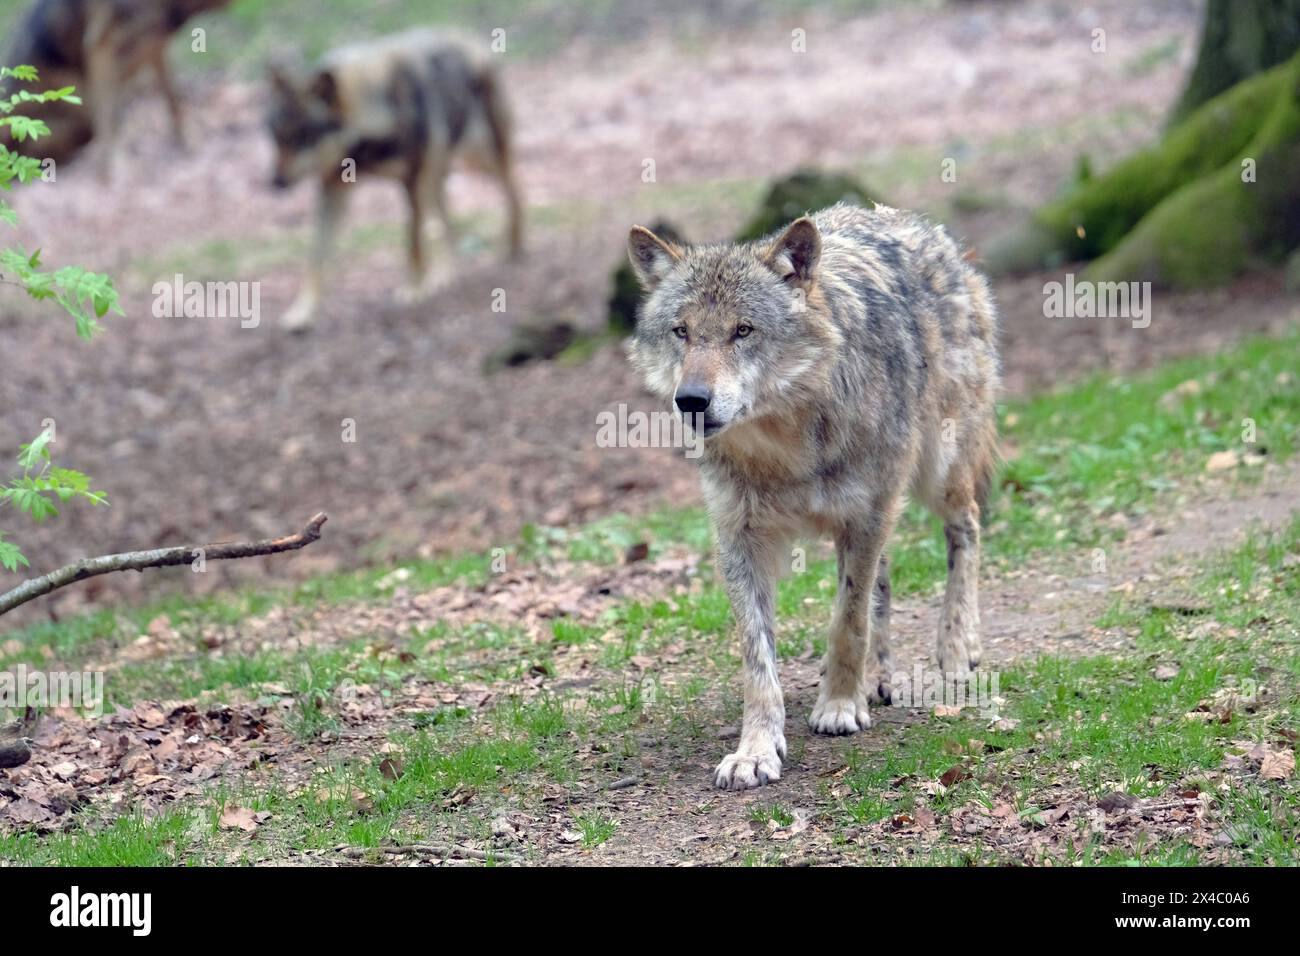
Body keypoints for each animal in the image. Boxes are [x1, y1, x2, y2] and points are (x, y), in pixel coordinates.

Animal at [3, 0, 232, 171]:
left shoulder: (155, 43)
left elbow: (174, 100)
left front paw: (187, 143)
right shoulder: (101, 45)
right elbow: (112, 120)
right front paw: (113, 171)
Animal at [267, 30, 524, 330]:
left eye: (303, 137)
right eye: (276, 136)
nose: (275, 182)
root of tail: (470, 38)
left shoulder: (410, 183)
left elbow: (412, 242)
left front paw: (413, 291)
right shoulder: (331, 190)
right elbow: (315, 257)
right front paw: (301, 312)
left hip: (479, 162)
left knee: (516, 190)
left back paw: (515, 247)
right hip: (436, 176)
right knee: (445, 222)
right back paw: (444, 275)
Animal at [627, 202, 1000, 790]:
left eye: (743, 330)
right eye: (681, 331)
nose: (690, 400)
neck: (785, 448)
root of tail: (926, 228)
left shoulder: (866, 516)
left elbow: (847, 622)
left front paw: (840, 707)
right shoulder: (740, 538)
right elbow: (758, 658)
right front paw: (755, 750)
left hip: (937, 471)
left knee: (966, 528)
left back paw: (957, 647)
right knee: (884, 582)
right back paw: (881, 674)